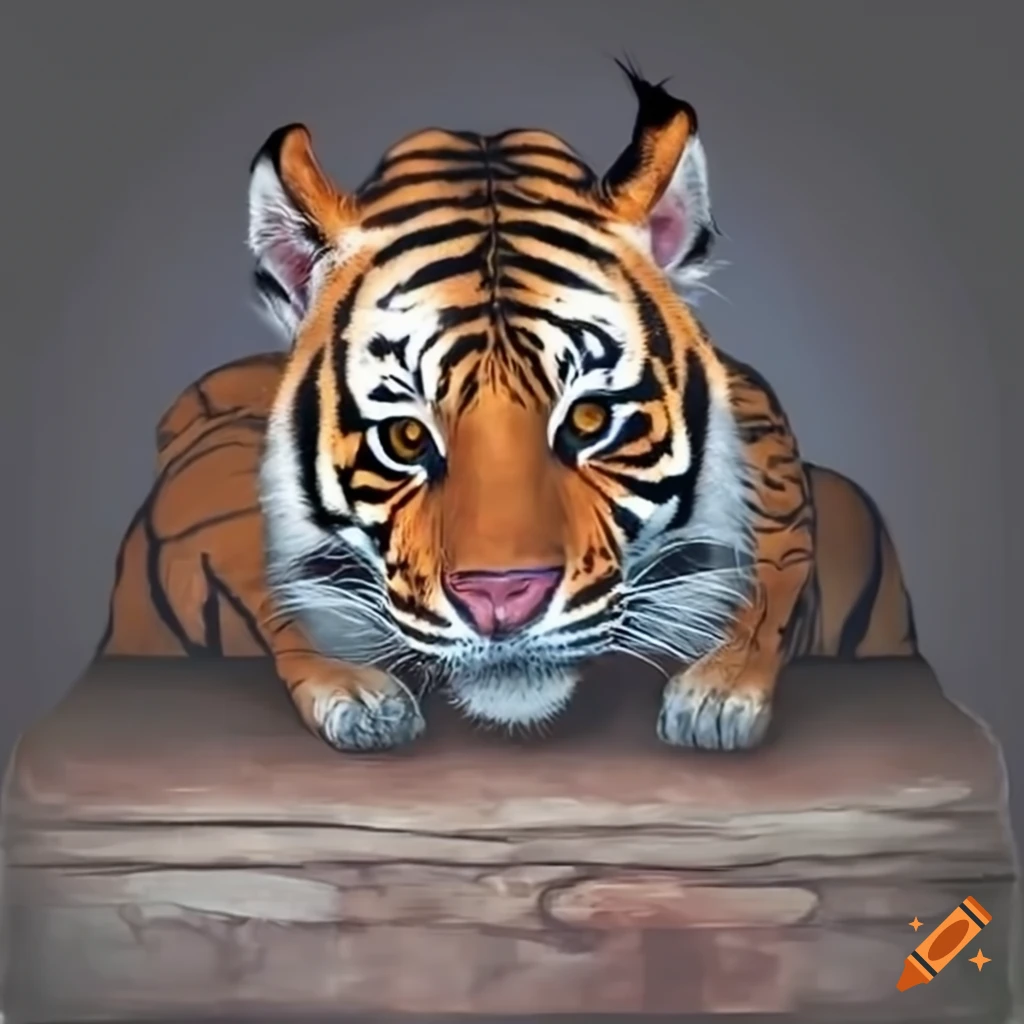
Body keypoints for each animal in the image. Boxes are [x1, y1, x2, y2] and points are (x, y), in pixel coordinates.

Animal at [99, 67, 918, 754]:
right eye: (406, 437)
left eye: (588, 421)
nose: (501, 600)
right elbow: (283, 593)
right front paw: (357, 694)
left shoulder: (774, 448)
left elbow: (775, 561)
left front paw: (719, 695)